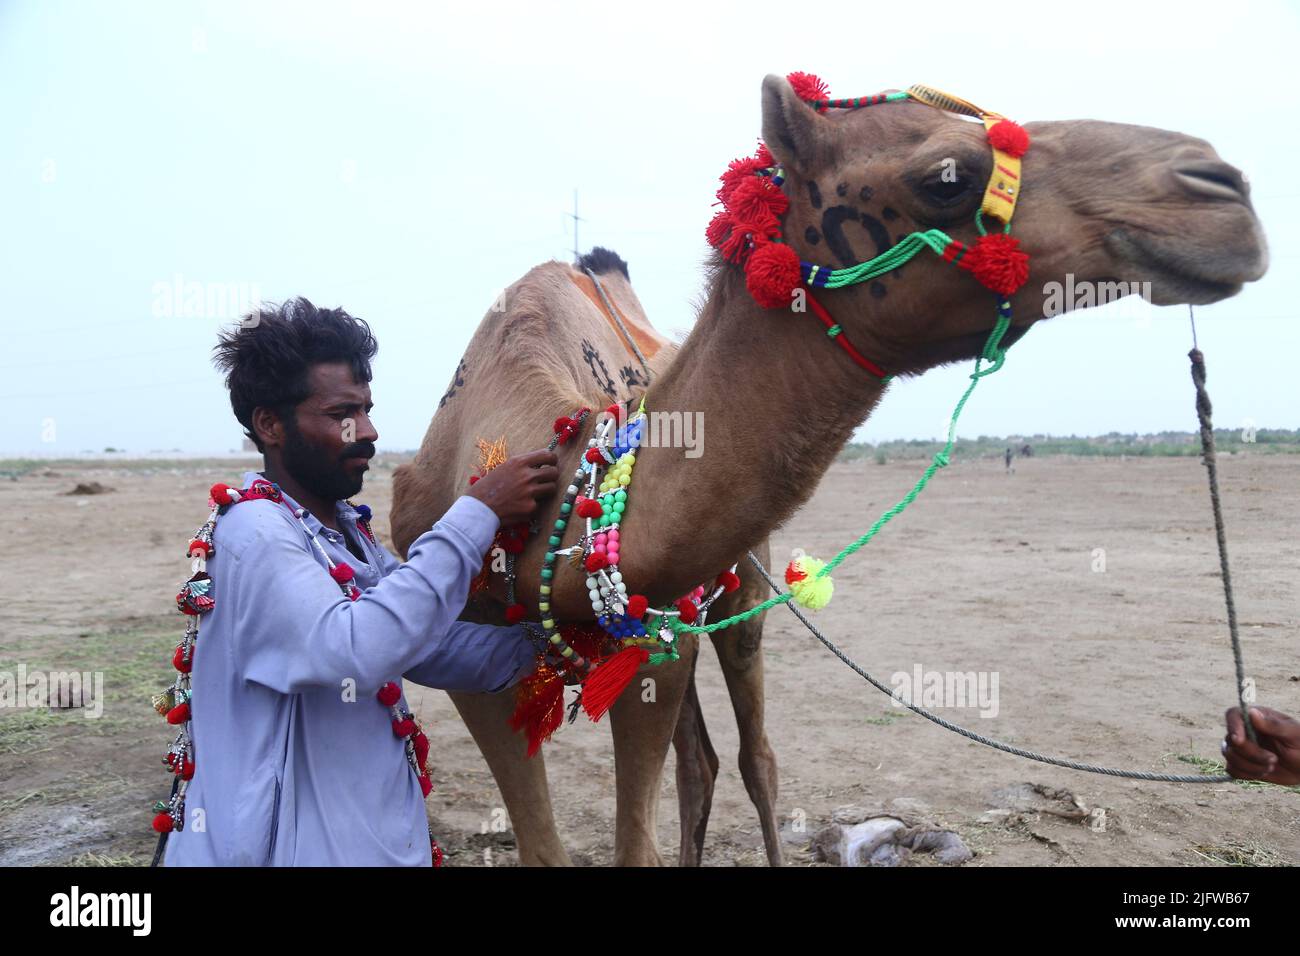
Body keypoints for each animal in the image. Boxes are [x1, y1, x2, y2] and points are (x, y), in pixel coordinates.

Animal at [391, 73, 1267, 866]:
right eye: (946, 176)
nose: (1220, 188)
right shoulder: (474, 661)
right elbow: (548, 838)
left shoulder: (652, 645)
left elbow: (644, 828)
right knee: (706, 763)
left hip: (740, 586)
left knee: (751, 761)